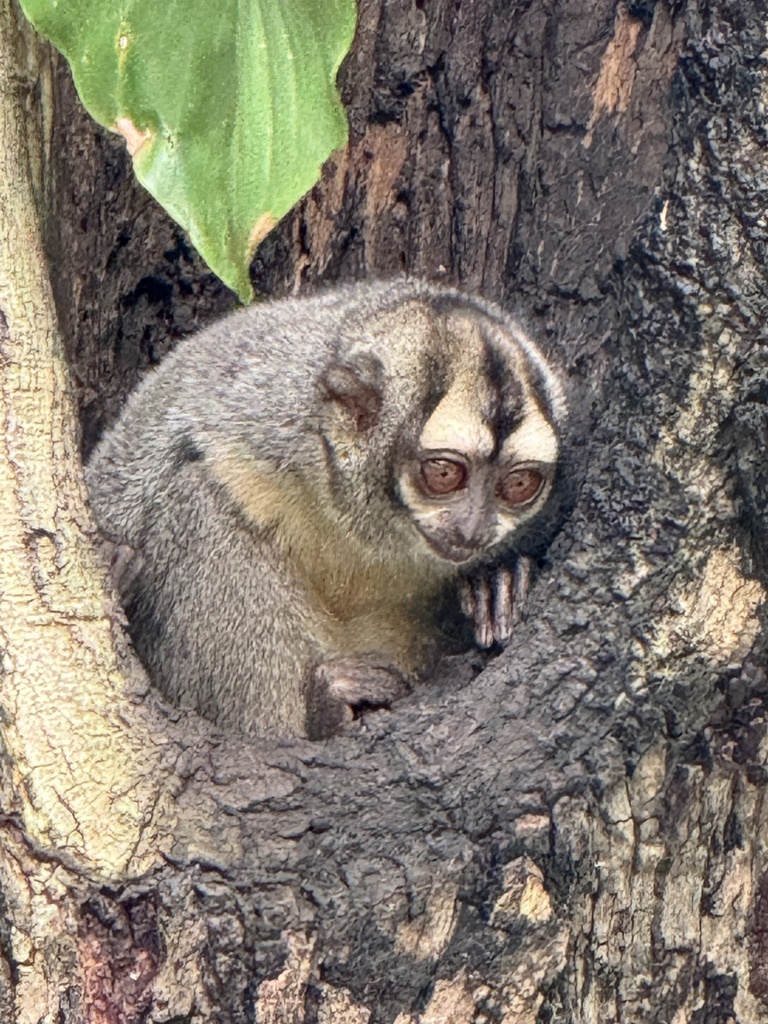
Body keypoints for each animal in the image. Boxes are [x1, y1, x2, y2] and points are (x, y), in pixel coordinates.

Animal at [85, 279, 565, 739]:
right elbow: (138, 452)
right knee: (197, 497)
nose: (473, 529)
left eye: (519, 484)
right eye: (445, 473)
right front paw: (112, 563)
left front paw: (494, 584)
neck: (367, 524)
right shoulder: (255, 402)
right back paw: (324, 711)